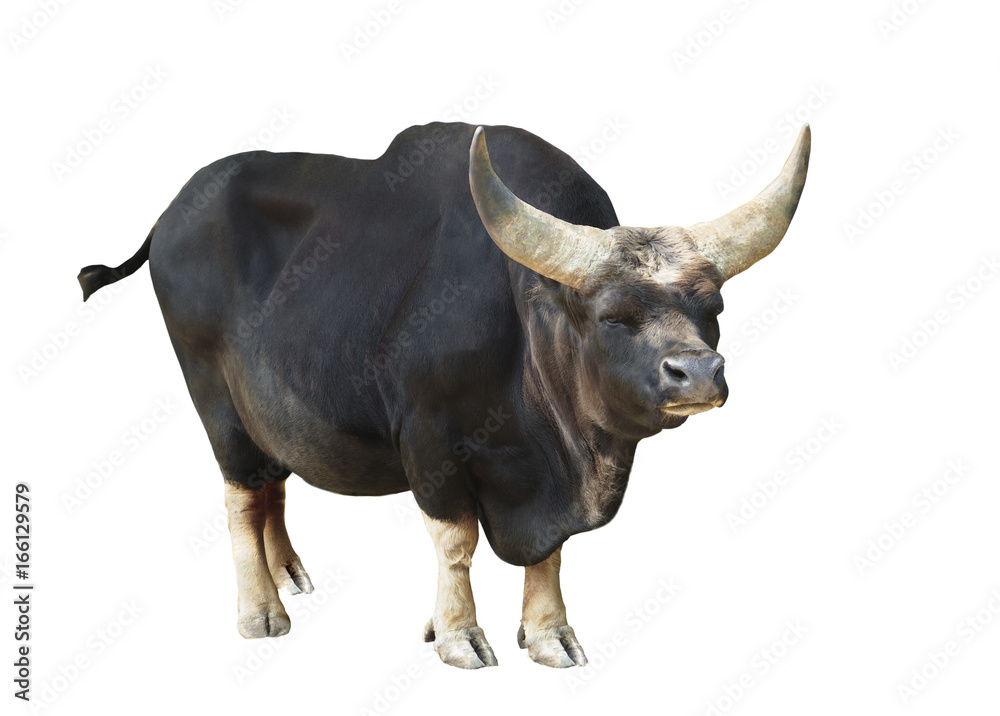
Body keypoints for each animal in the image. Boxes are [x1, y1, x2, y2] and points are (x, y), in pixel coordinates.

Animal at [78, 121, 809, 669]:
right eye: (613, 316)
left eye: (713, 307)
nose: (699, 373)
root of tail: (172, 214)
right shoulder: (429, 442)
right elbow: (456, 542)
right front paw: (457, 634)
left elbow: (550, 551)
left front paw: (549, 633)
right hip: (215, 401)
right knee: (240, 496)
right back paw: (261, 610)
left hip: (273, 407)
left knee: (272, 484)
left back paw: (289, 572)